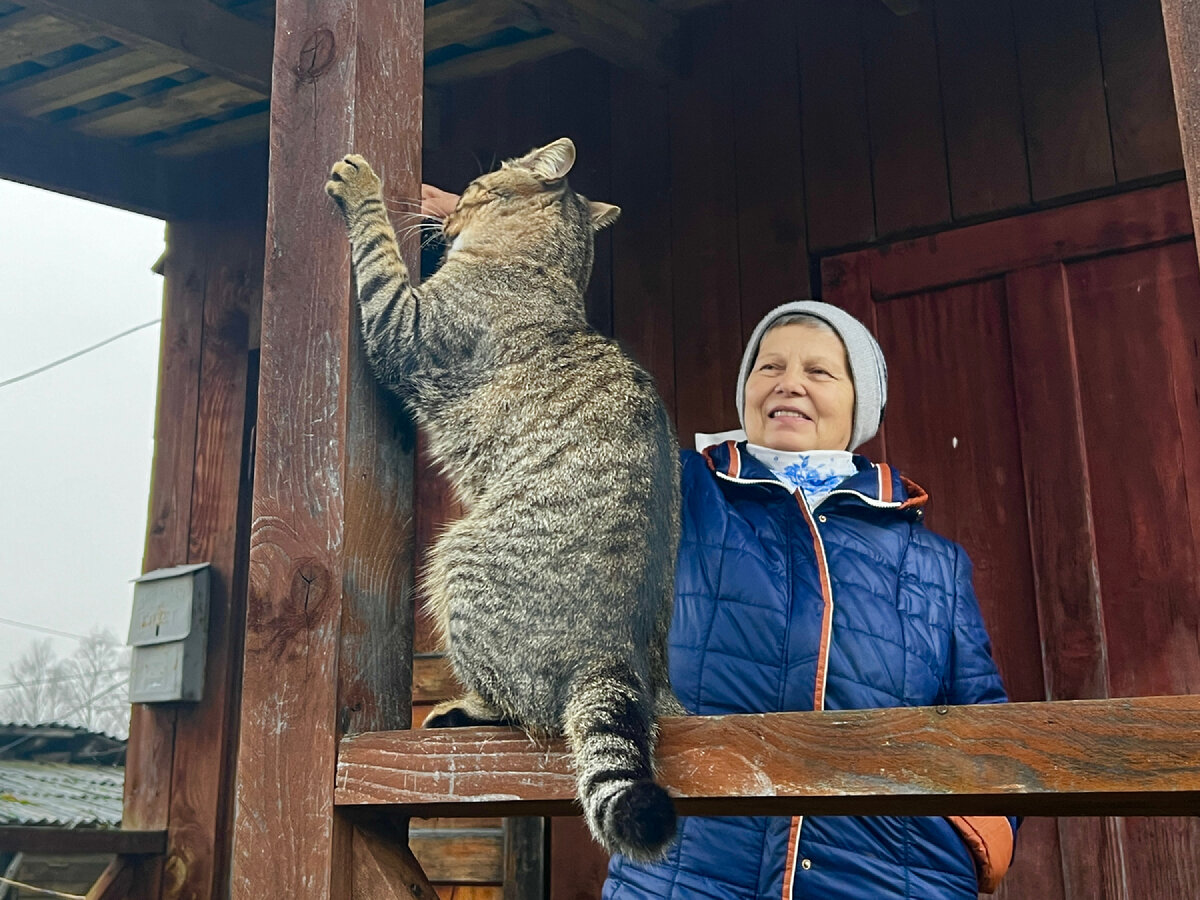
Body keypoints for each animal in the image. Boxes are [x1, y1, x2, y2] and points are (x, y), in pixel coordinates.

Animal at [326, 137, 686, 864]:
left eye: (474, 182)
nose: (449, 202)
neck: (543, 270)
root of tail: (617, 658)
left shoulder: (404, 324)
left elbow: (376, 251)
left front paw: (364, 187)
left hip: (455, 556)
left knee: (522, 709)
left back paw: (463, 708)